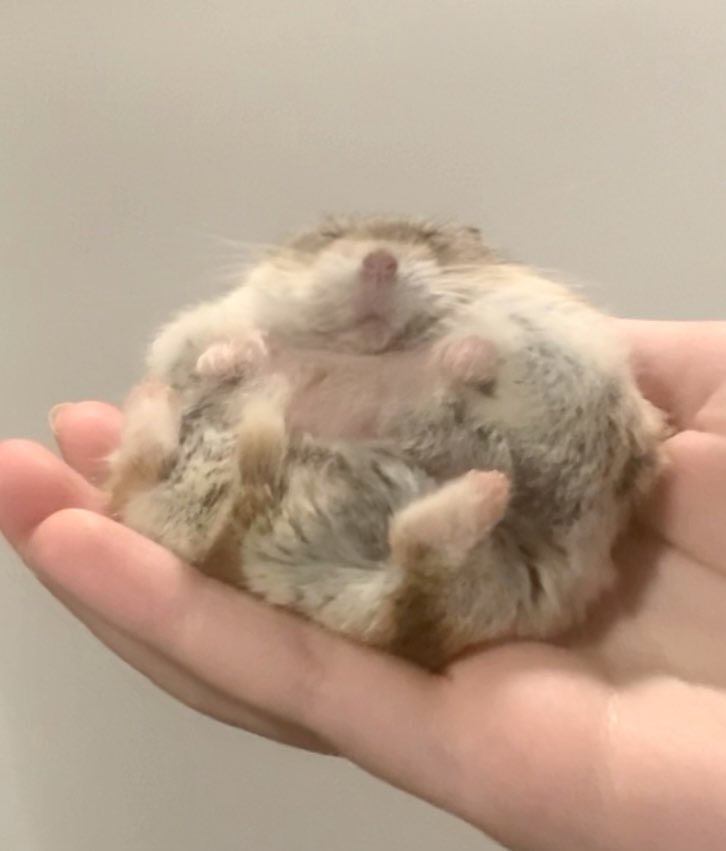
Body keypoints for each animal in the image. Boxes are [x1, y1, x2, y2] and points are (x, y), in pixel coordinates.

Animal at [105, 214, 667, 668]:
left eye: (429, 240)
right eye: (331, 236)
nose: (379, 260)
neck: (373, 353)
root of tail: (242, 534)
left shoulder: (558, 362)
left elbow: (488, 362)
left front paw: (461, 355)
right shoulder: (192, 335)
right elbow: (217, 352)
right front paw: (238, 355)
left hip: (500, 581)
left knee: (419, 562)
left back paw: (486, 486)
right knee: (137, 473)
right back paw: (152, 401)